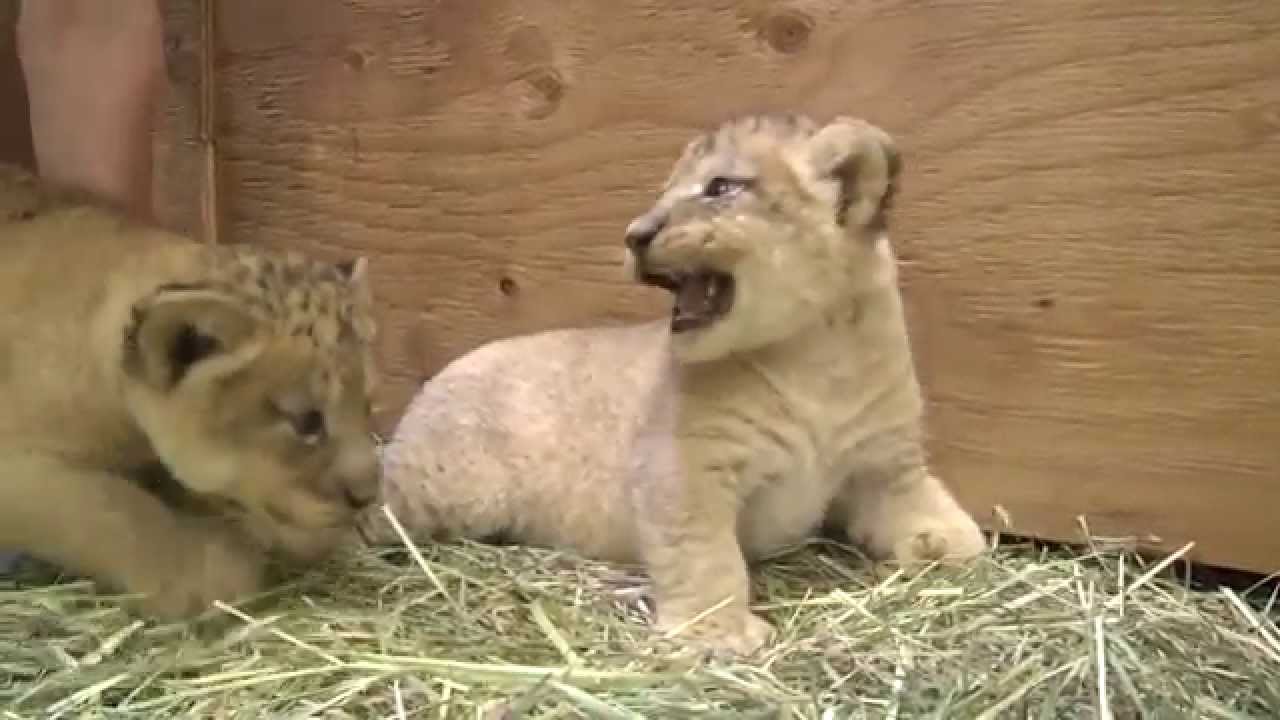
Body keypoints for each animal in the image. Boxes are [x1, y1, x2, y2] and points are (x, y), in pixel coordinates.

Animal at [0, 164, 381, 620]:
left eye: (368, 407)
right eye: (306, 421)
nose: (367, 496)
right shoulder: (20, 465)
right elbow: (113, 508)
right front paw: (210, 577)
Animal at [360, 113, 987, 655]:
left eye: (721, 186)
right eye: (665, 190)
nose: (635, 234)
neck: (815, 357)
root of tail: (434, 379)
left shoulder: (885, 461)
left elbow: (927, 504)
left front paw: (949, 543)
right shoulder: (684, 466)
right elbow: (704, 554)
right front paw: (719, 633)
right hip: (453, 486)